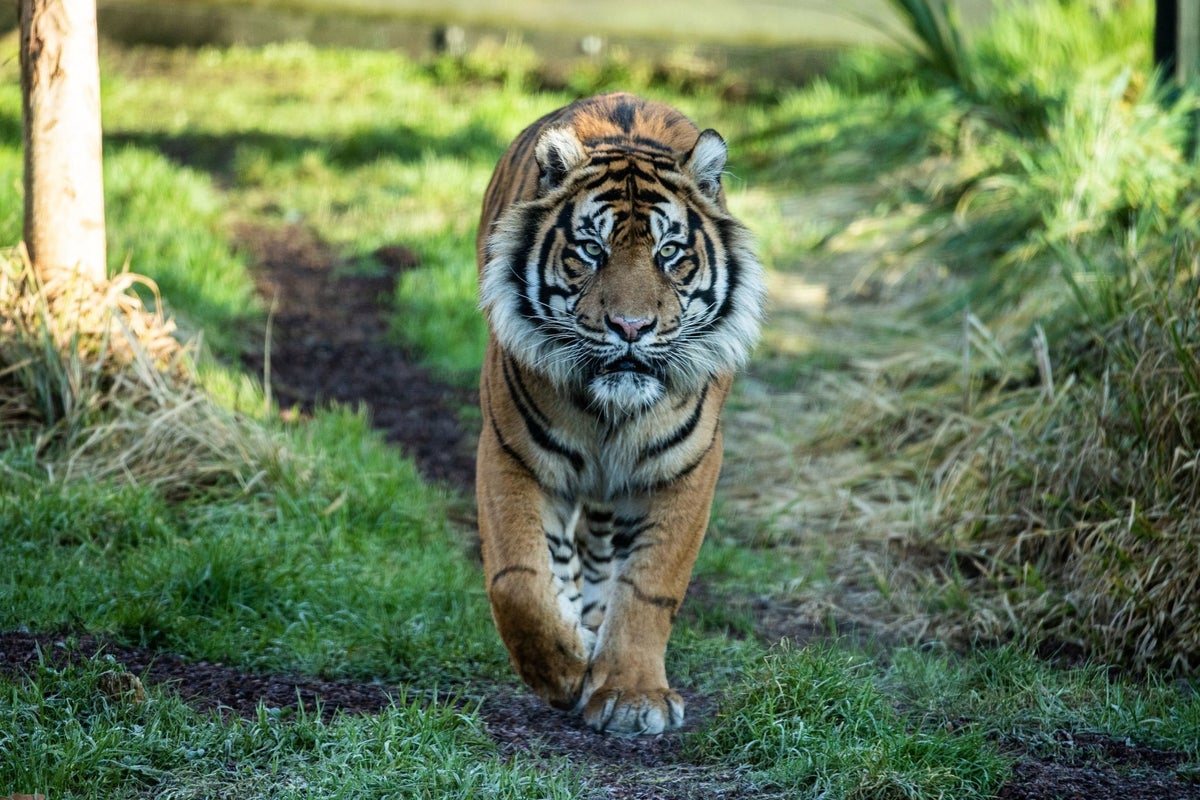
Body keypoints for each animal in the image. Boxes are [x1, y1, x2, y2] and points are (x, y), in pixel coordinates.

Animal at [475, 92, 766, 735]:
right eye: (592, 250)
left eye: (669, 253)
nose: (630, 328)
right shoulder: (510, 452)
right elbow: (519, 582)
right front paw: (563, 670)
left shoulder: (686, 467)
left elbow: (650, 585)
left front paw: (632, 695)